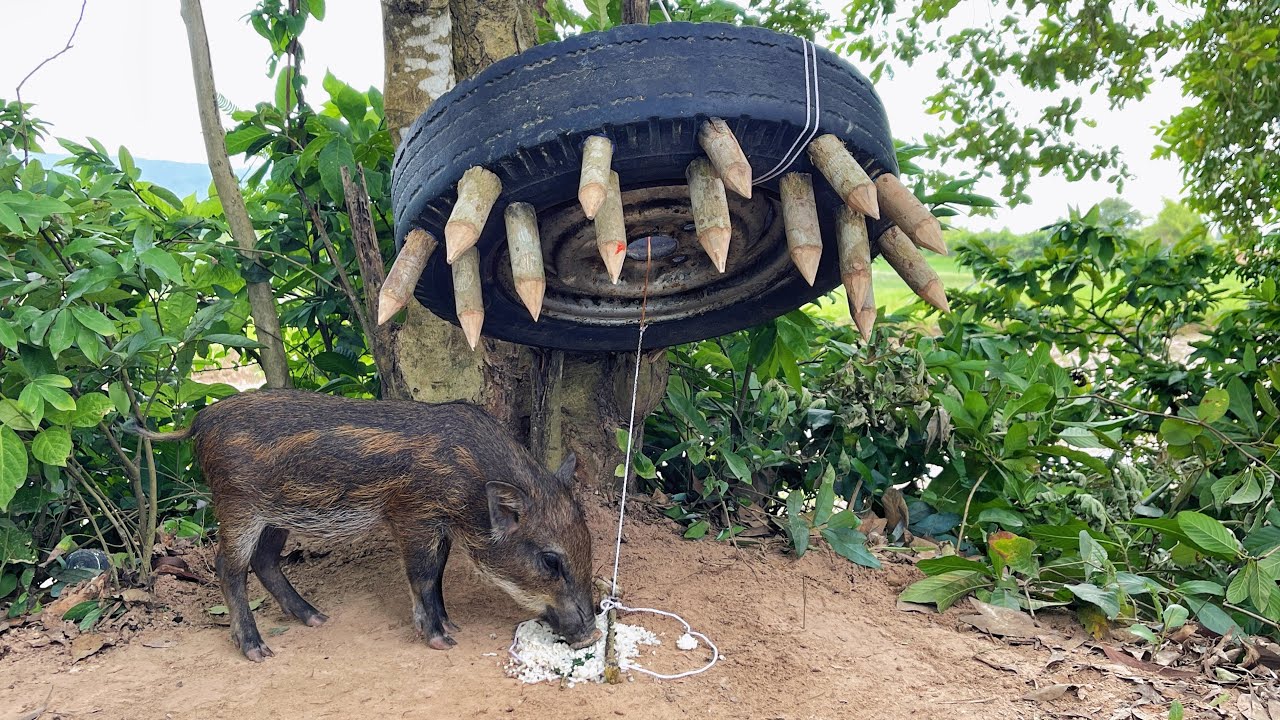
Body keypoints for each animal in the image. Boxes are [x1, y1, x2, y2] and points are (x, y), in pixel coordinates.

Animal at [125, 389, 599, 661]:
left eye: (588, 543)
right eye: (550, 560)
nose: (590, 635)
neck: (468, 478)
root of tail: (197, 424)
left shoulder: (437, 525)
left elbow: (438, 574)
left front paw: (451, 626)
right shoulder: (411, 515)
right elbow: (422, 574)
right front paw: (440, 640)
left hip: (279, 513)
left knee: (265, 561)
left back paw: (316, 618)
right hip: (238, 507)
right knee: (230, 568)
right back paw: (258, 651)